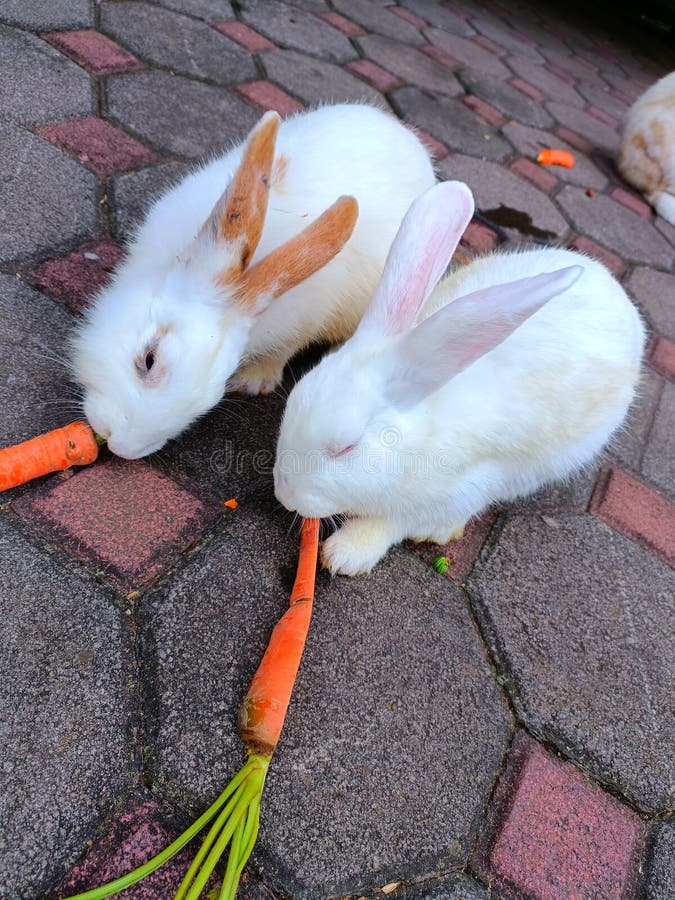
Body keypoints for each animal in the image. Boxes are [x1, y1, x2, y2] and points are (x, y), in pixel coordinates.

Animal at [274, 181, 646, 576]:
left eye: (346, 448)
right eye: (294, 399)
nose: (284, 493)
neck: (417, 440)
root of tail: (616, 291)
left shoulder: (461, 490)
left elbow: (390, 524)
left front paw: (346, 553)